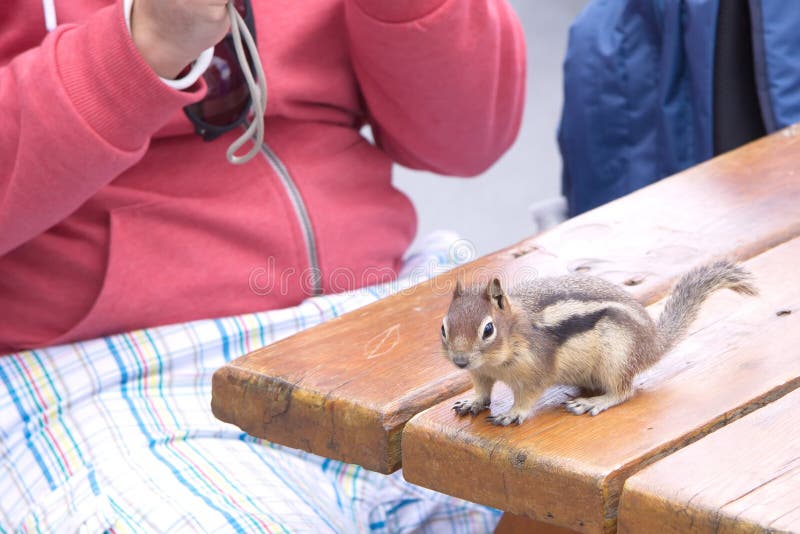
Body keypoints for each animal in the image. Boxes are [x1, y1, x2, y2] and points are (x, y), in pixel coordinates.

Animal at [441, 260, 757, 426]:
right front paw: (473, 401)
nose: (460, 361)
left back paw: (595, 402)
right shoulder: (481, 372)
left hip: (616, 358)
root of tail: (652, 345)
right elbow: (482, 390)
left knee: (625, 391)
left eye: (488, 329)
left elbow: (528, 396)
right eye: (443, 327)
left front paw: (513, 413)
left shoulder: (536, 370)